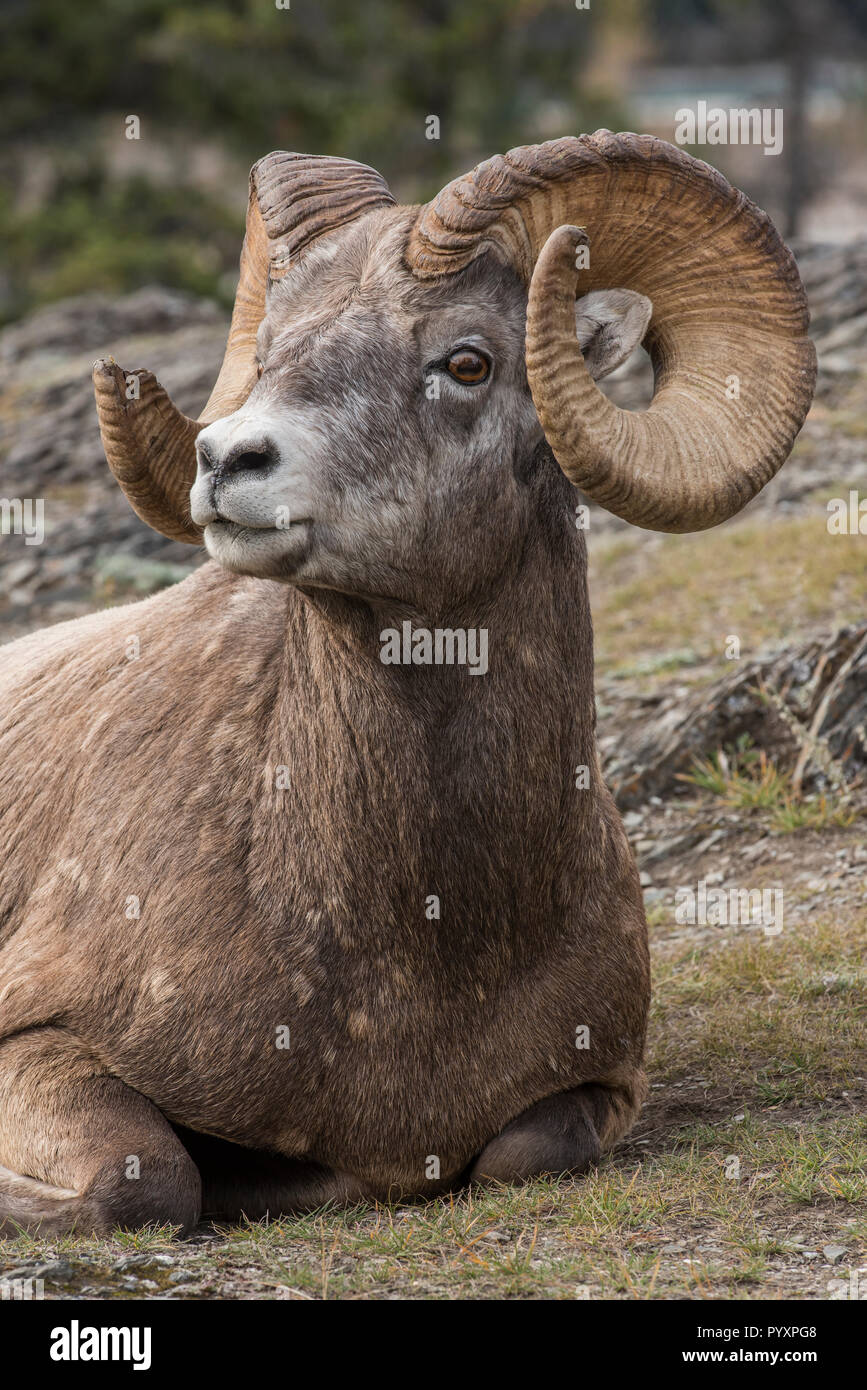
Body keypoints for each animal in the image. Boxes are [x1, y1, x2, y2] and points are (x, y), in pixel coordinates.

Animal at [0, 133, 815, 1234]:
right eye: (270, 353)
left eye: (467, 361)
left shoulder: (598, 1089)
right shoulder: (39, 1043)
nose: (227, 461)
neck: (417, 942)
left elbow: (524, 1152)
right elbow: (147, 1179)